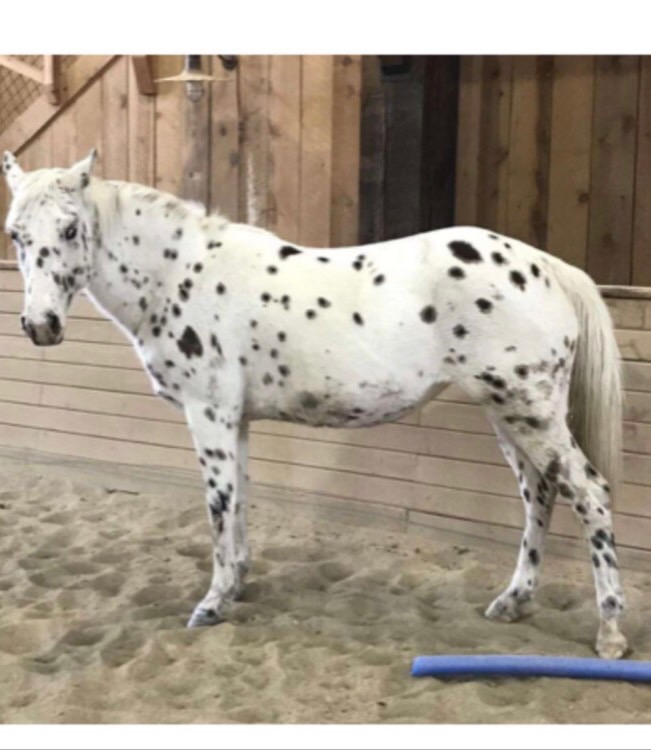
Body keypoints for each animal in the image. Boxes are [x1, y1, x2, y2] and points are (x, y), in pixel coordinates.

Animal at [2, 149, 627, 659]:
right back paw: (514, 601)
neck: (181, 277)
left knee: (590, 495)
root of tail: (549, 268)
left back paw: (611, 633)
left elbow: (218, 506)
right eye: (15, 235)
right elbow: (240, 499)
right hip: (509, 414)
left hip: (531, 411)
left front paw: (212, 603)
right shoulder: (236, 421)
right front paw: (238, 584)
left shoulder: (209, 415)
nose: (41, 325)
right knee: (540, 495)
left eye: (70, 226)